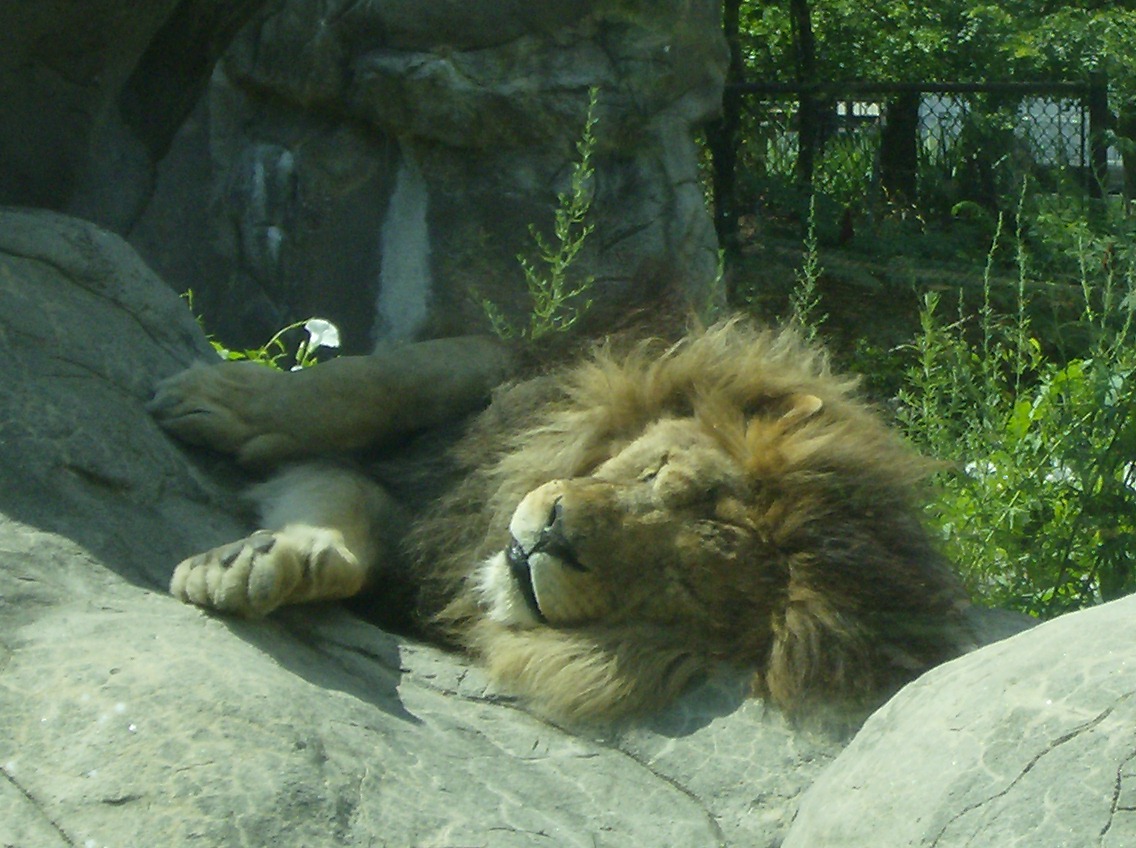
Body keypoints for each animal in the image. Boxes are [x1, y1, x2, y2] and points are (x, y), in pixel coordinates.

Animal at [149, 319, 970, 722]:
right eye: (658, 474)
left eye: (673, 585)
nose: (554, 536)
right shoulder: (497, 377)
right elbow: (384, 379)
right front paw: (225, 407)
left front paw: (263, 562)